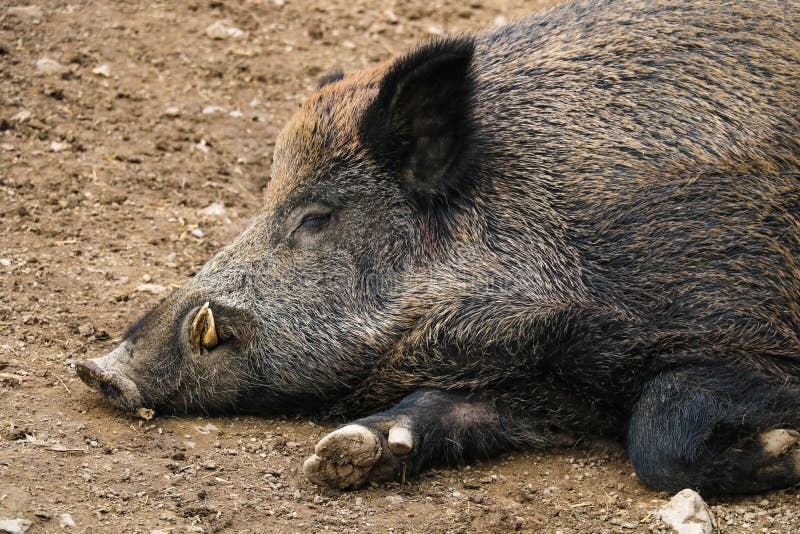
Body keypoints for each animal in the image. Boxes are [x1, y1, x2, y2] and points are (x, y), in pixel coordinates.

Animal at [76, 0, 800, 496]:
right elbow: (443, 407)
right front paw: (337, 457)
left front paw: (782, 450)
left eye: (315, 217)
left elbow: (659, 429)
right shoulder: (537, 386)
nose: (98, 369)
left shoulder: (739, 322)